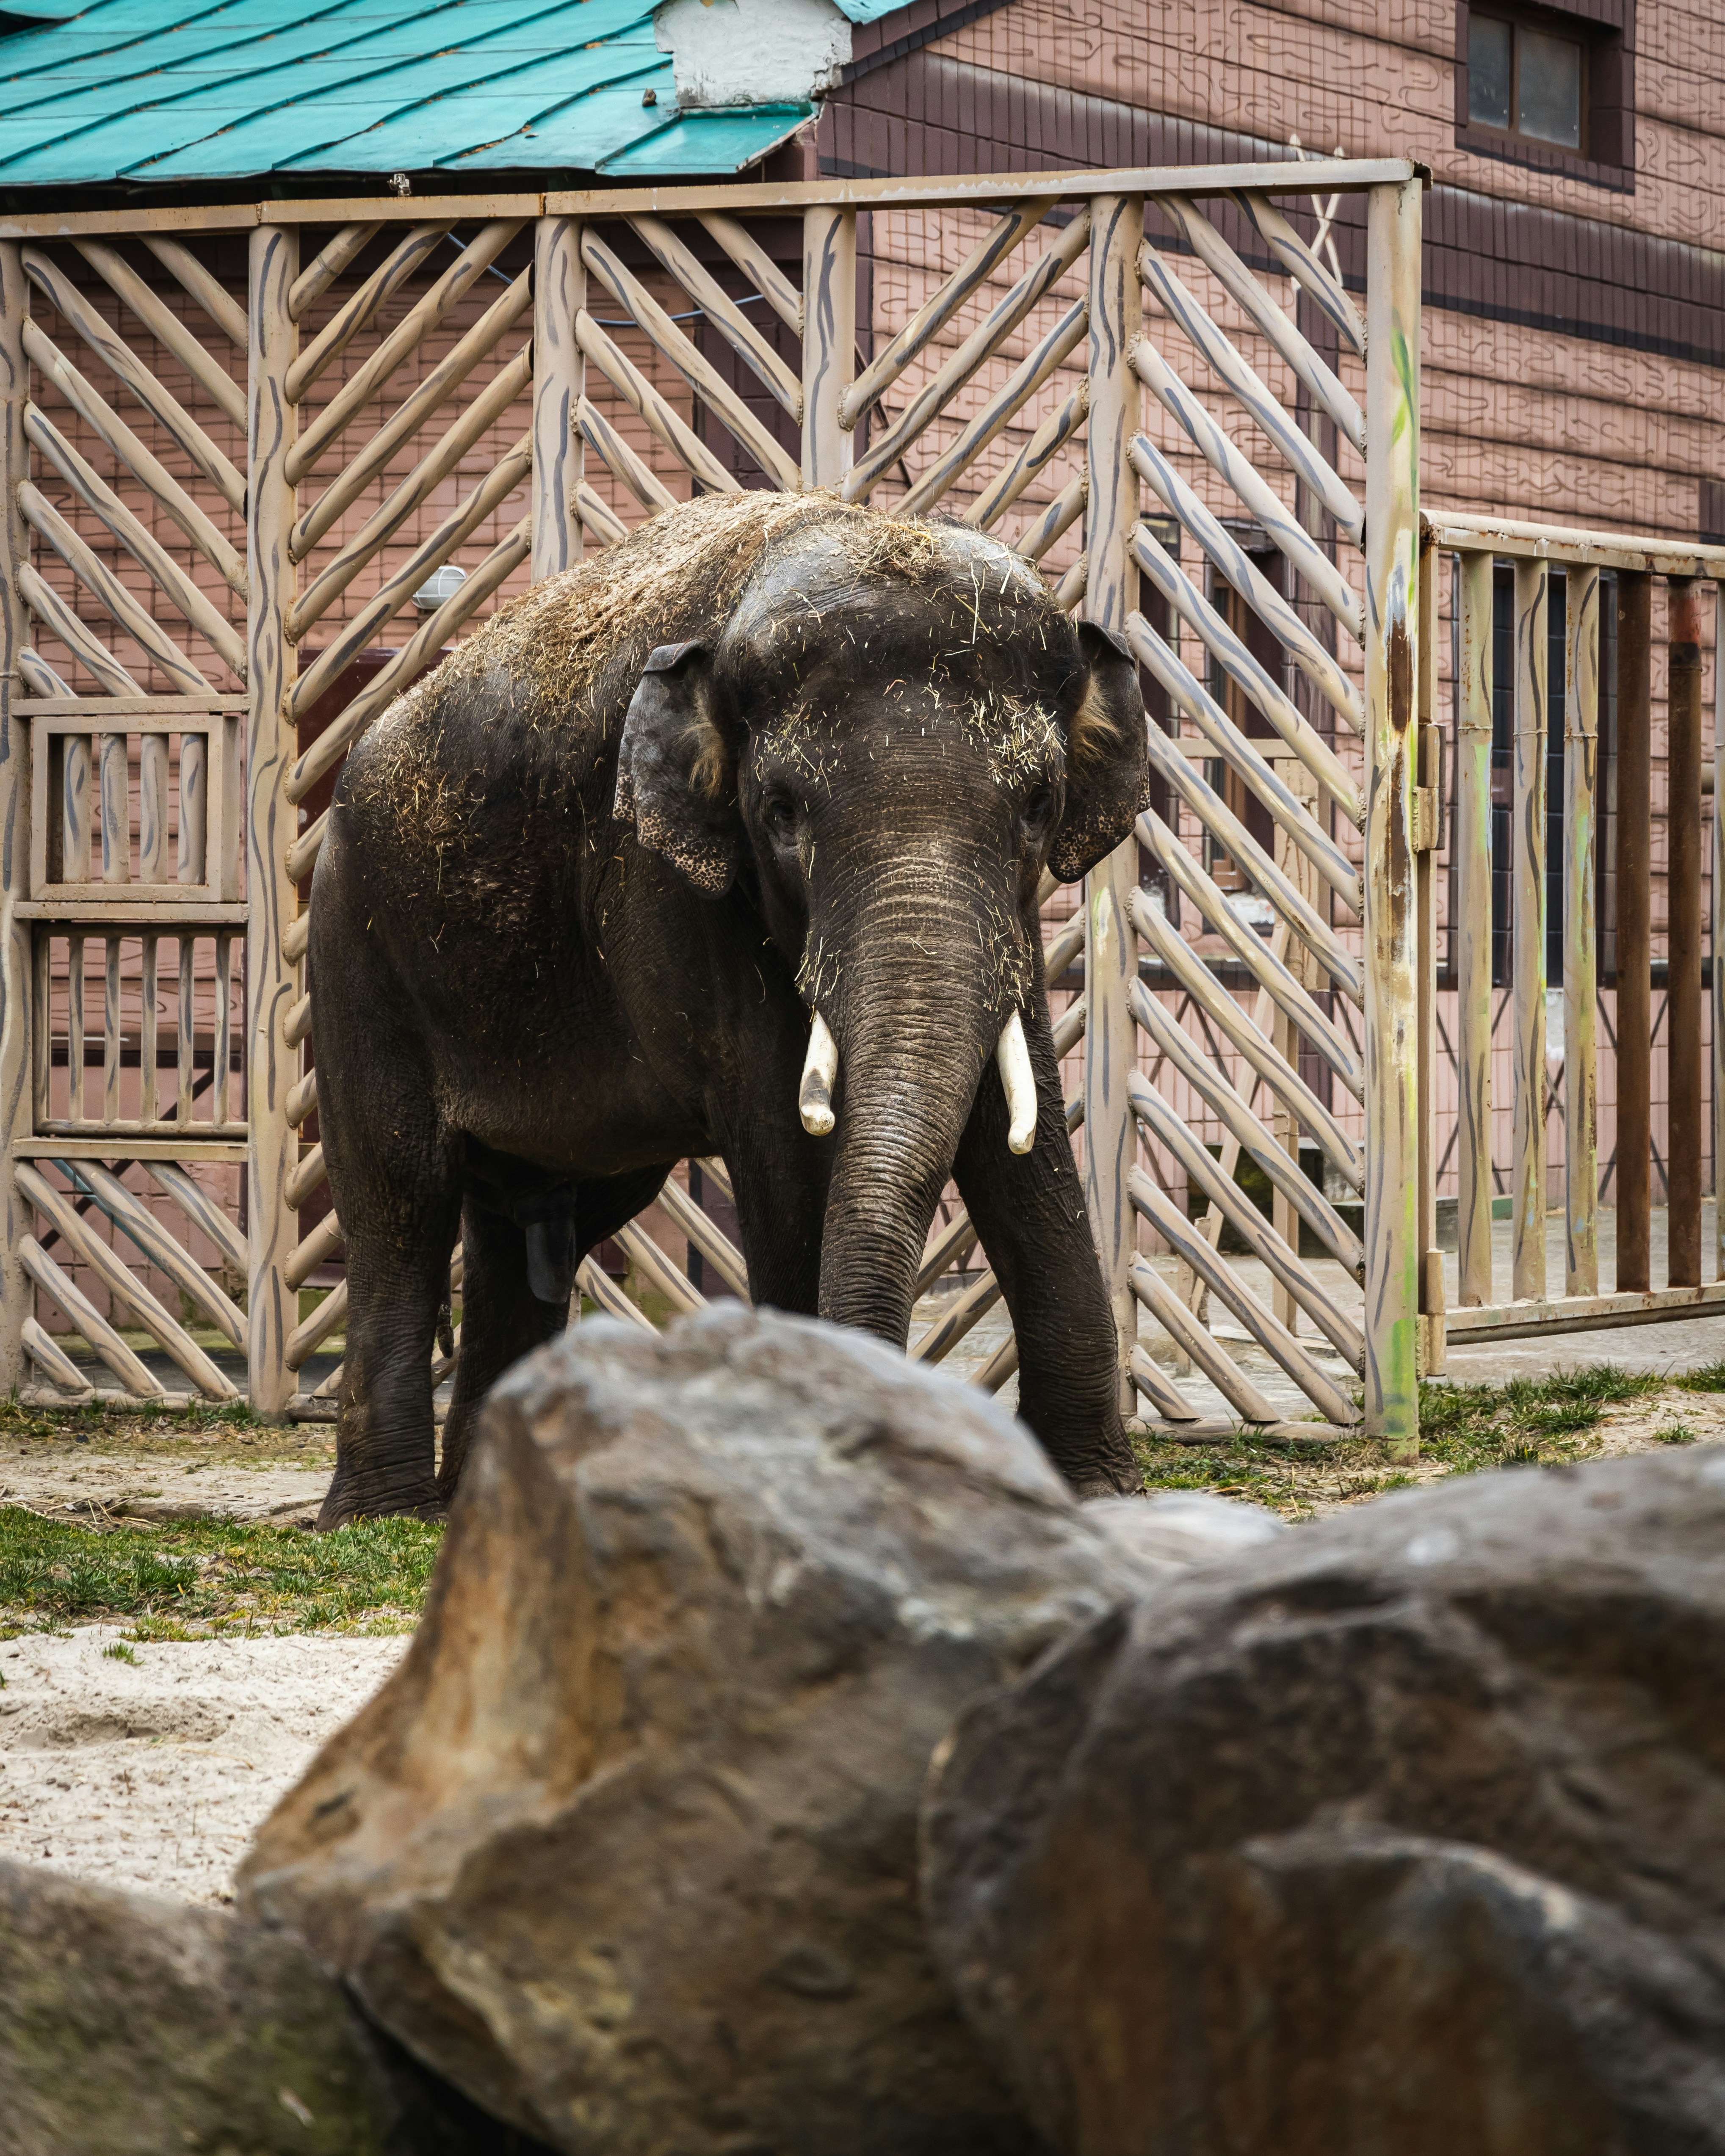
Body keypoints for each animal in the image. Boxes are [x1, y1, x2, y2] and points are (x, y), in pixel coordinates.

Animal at [305, 489, 1150, 1529]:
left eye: (1037, 804)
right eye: (781, 811)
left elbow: (1019, 1137)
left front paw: (1098, 1495)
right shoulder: (667, 890)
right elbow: (784, 1149)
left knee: (528, 1218)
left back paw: (488, 1492)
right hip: (357, 952)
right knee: (399, 1199)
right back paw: (384, 1515)